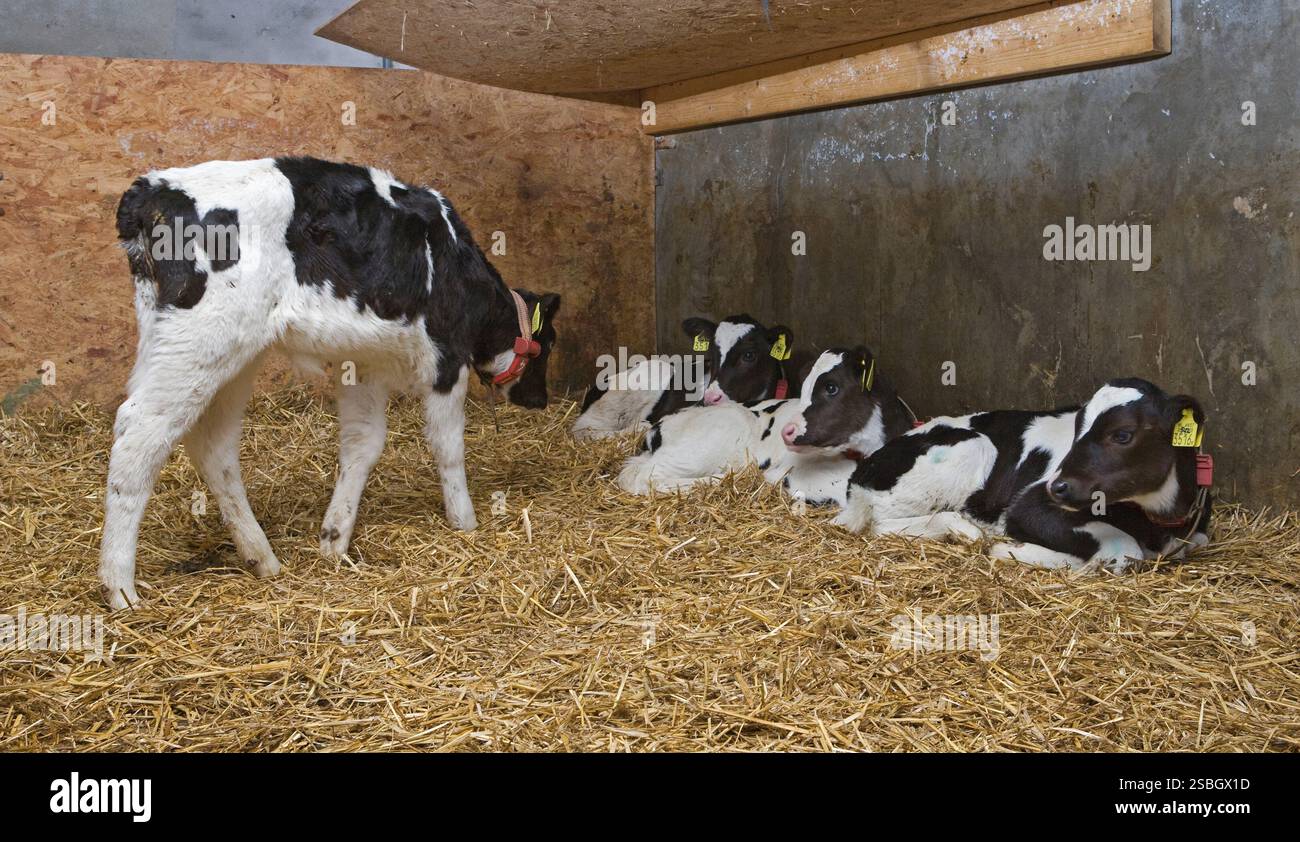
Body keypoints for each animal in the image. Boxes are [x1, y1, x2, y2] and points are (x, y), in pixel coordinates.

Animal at [101, 157, 561, 609]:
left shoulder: (363, 360)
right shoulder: (447, 357)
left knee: (213, 445)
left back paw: (260, 556)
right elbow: (448, 446)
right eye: (550, 342)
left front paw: (335, 538)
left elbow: (363, 444)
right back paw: (120, 587)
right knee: (138, 434)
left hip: (222, 353)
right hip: (198, 343)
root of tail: (150, 190)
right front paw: (464, 520)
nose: (542, 399)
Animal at [616, 347, 913, 505]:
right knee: (645, 477)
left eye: (831, 387)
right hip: (712, 438)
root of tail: (657, 429)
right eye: (804, 387)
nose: (787, 431)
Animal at [831, 378, 1213, 571]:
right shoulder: (1026, 507)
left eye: (1122, 434)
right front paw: (1017, 550)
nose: (1059, 487)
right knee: (880, 523)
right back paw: (965, 530)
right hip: (972, 447)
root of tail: (862, 471)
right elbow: (1122, 548)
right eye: (1078, 425)